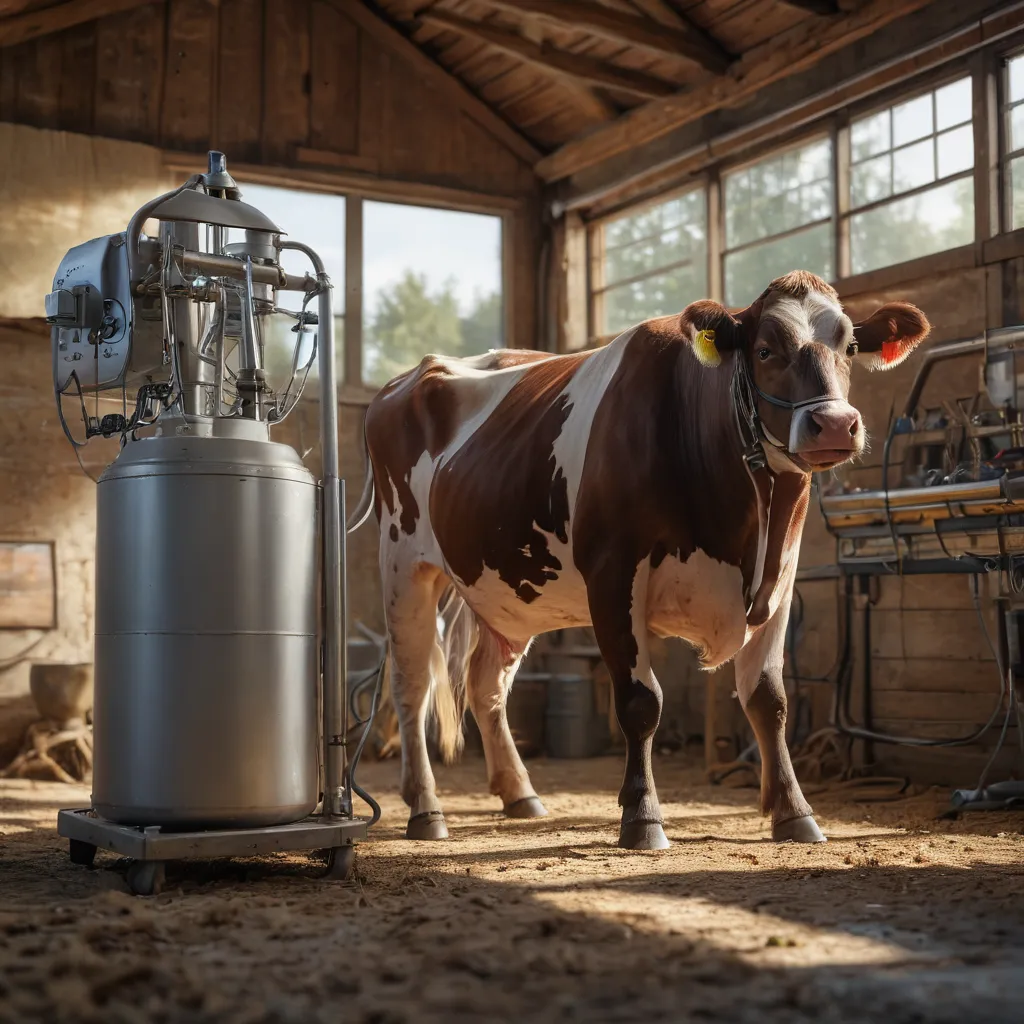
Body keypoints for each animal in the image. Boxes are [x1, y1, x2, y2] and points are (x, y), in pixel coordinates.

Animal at [353, 271, 929, 850]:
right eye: (766, 349)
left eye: (849, 347)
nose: (834, 424)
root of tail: (405, 381)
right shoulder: (613, 573)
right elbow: (640, 702)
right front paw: (643, 817)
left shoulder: (780, 579)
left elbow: (769, 701)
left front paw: (794, 812)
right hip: (403, 563)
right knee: (410, 688)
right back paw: (425, 809)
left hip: (507, 588)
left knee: (485, 684)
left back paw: (520, 794)